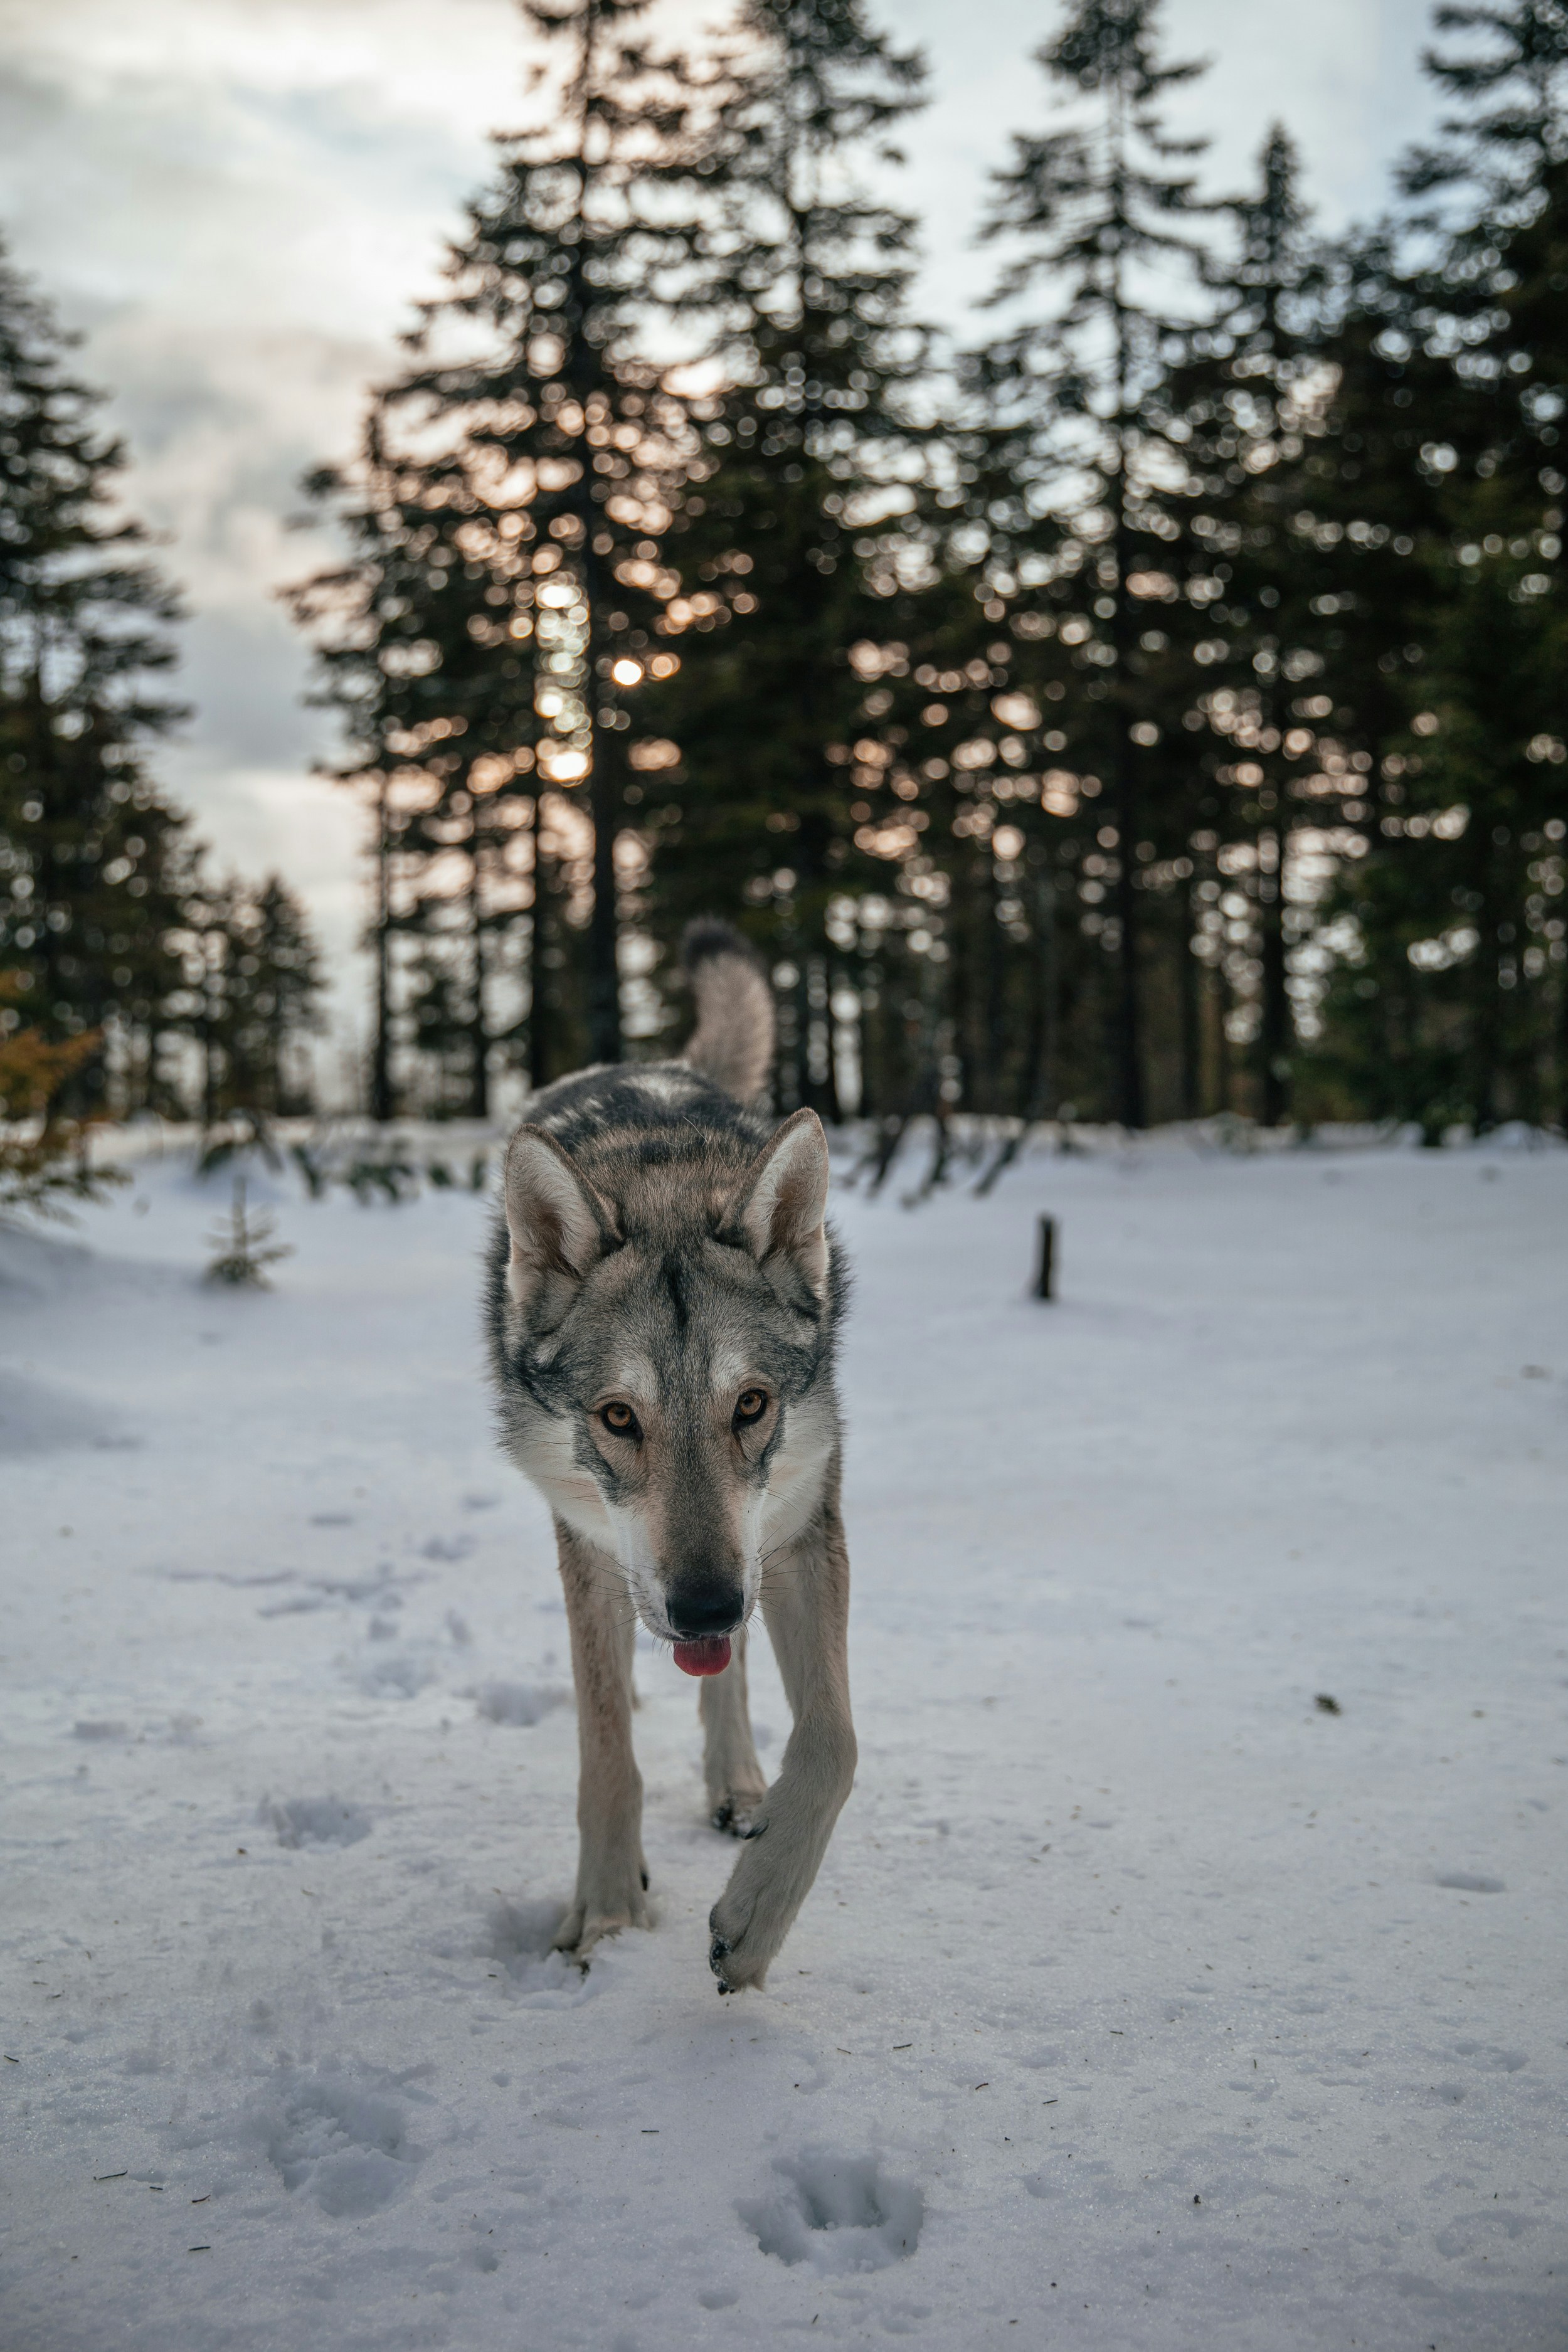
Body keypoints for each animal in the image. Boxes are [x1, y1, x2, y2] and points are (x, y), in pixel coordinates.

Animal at [484, 920, 855, 1993]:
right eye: (618, 1416)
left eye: (752, 1404)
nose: (703, 1606)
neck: (665, 1183)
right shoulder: (592, 1546)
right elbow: (607, 1752)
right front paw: (608, 1919)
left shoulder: (801, 1527)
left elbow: (833, 1743)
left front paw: (756, 1918)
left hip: (756, 1548)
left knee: (733, 1674)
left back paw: (739, 1786)